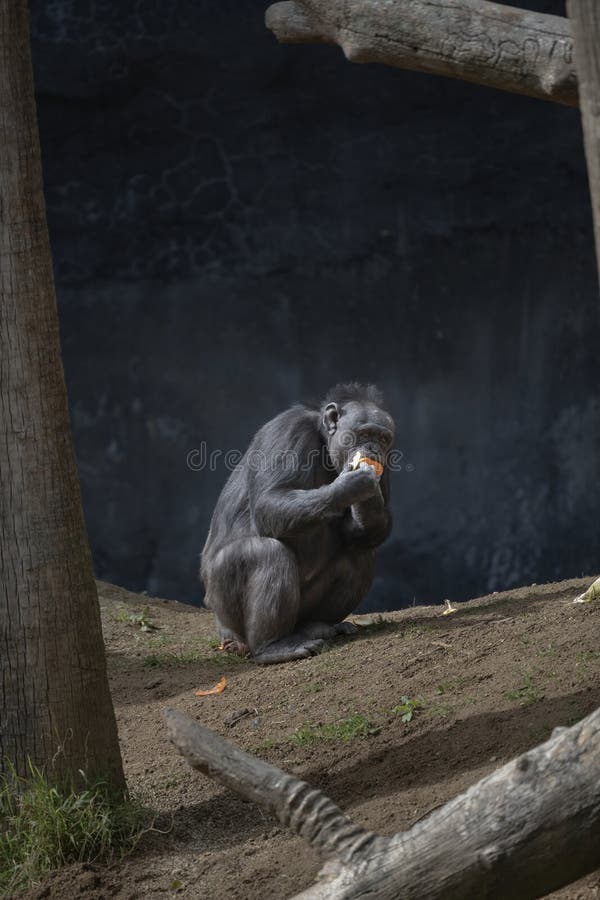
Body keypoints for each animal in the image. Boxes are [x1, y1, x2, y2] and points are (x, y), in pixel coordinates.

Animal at [200, 383, 394, 664]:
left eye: (384, 439)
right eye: (365, 433)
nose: (373, 449)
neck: (324, 444)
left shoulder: (386, 466)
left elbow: (359, 533)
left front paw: (369, 504)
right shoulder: (288, 431)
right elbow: (270, 500)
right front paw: (352, 486)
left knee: (359, 556)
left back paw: (317, 626)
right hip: (223, 605)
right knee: (267, 555)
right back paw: (273, 646)